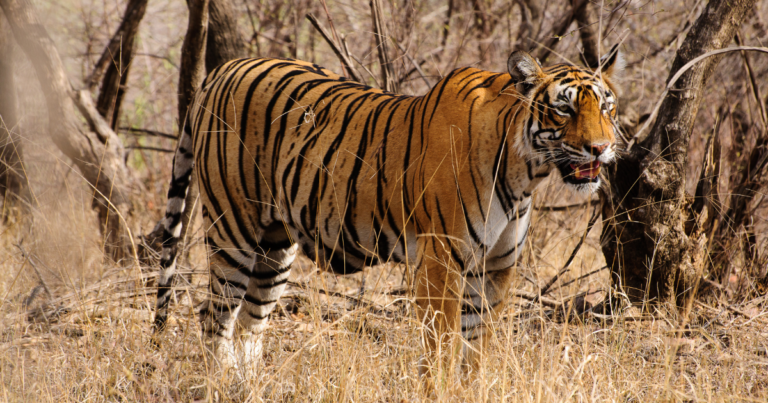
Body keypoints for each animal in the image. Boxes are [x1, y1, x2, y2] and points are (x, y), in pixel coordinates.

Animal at [153, 45, 623, 379]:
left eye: (606, 107)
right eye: (563, 108)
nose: (600, 148)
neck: (525, 171)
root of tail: (225, 67)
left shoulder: (495, 266)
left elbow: (476, 348)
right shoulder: (441, 260)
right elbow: (442, 345)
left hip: (274, 248)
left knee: (251, 323)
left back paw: (248, 387)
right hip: (233, 229)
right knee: (214, 316)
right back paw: (220, 384)